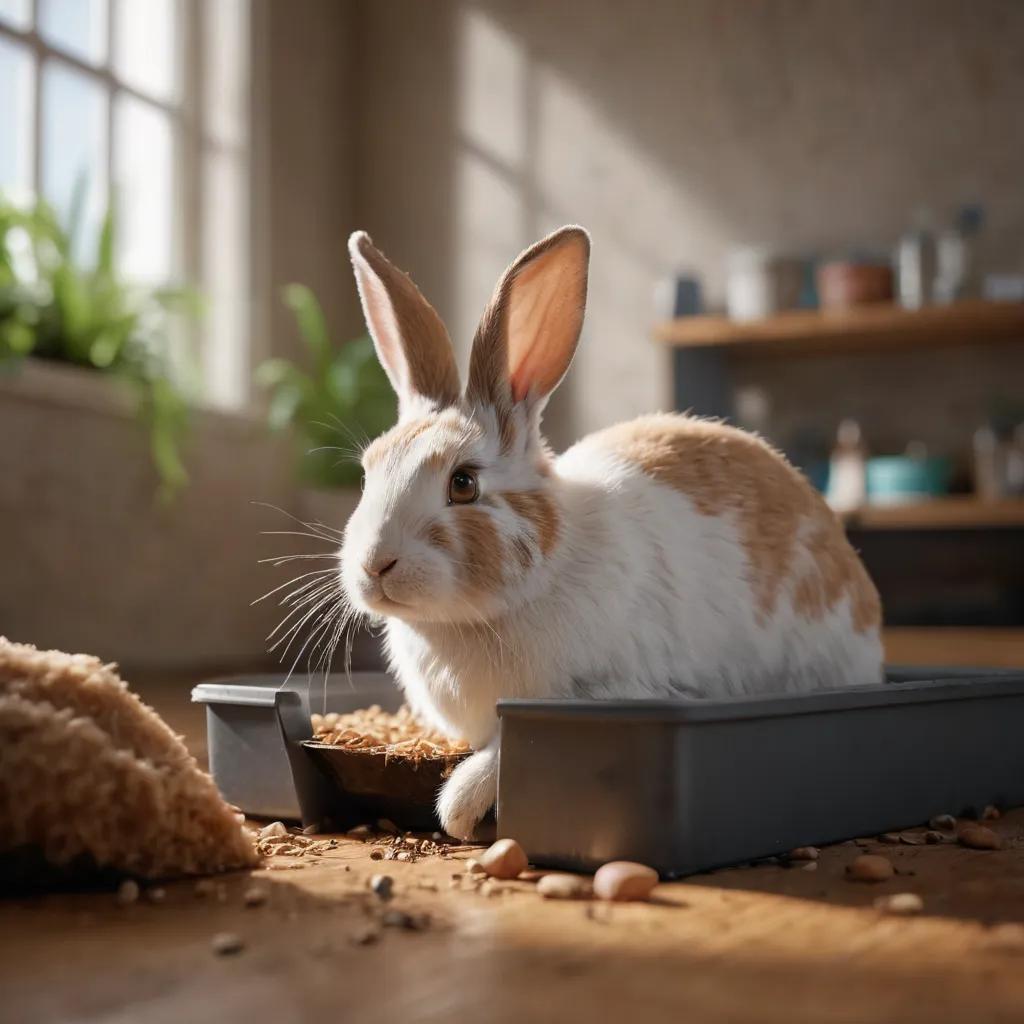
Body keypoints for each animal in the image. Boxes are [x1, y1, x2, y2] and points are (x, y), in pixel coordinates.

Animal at [340, 225, 884, 841]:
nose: (375, 565)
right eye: (369, 471)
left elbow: (509, 748)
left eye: (463, 484)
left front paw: (458, 807)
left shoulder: (616, 691)